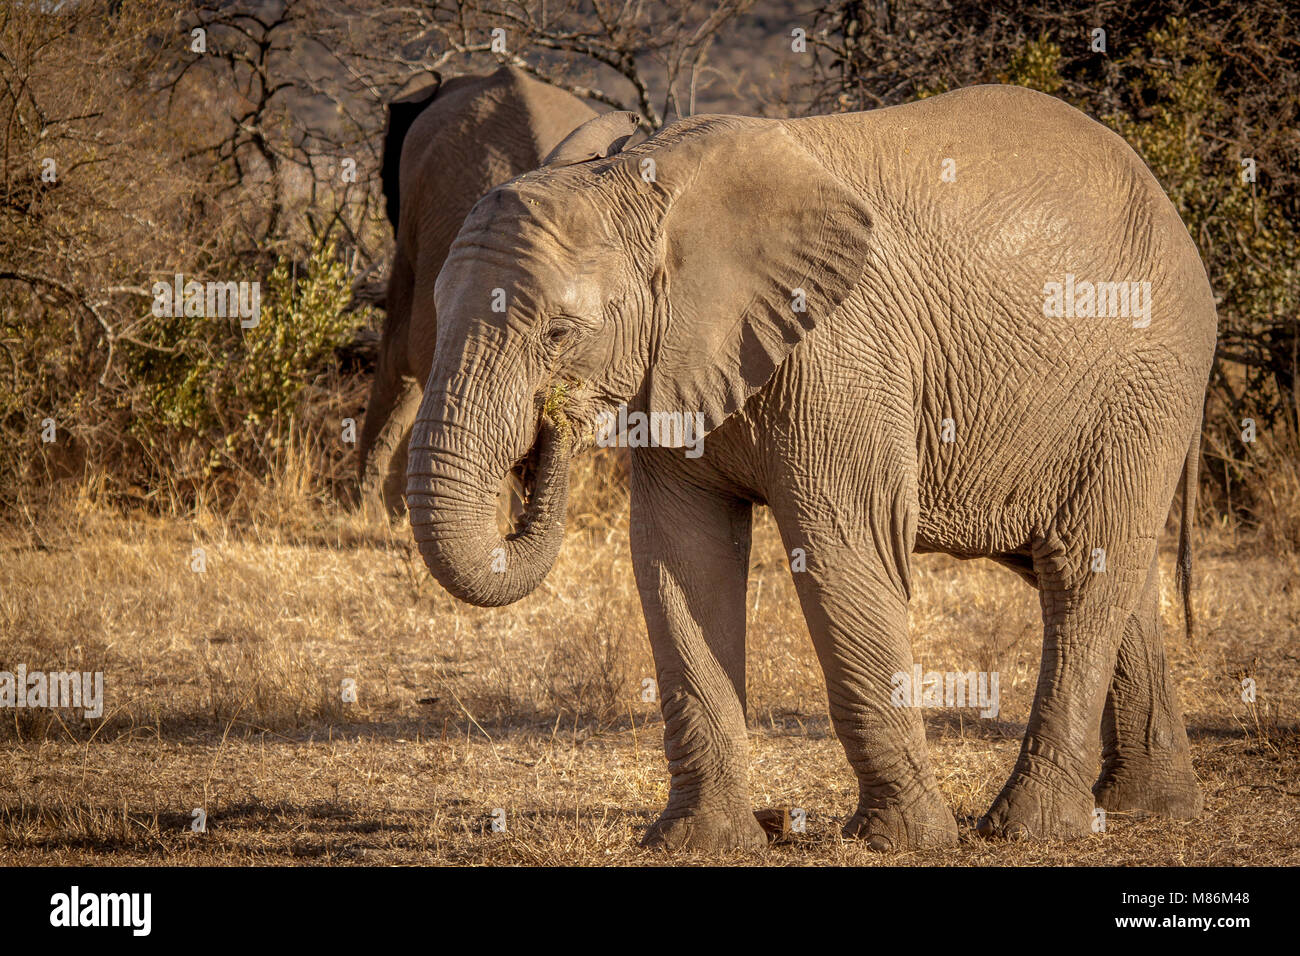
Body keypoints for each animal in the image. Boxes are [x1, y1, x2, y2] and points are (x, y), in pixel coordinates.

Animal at [404, 85, 1217, 851]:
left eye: (560, 332)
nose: (553, 423)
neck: (641, 182)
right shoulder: (679, 359)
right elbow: (679, 557)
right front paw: (700, 842)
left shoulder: (842, 357)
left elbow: (840, 552)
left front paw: (904, 841)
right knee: (1101, 572)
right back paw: (1143, 807)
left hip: (1146, 381)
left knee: (1082, 571)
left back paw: (1029, 827)